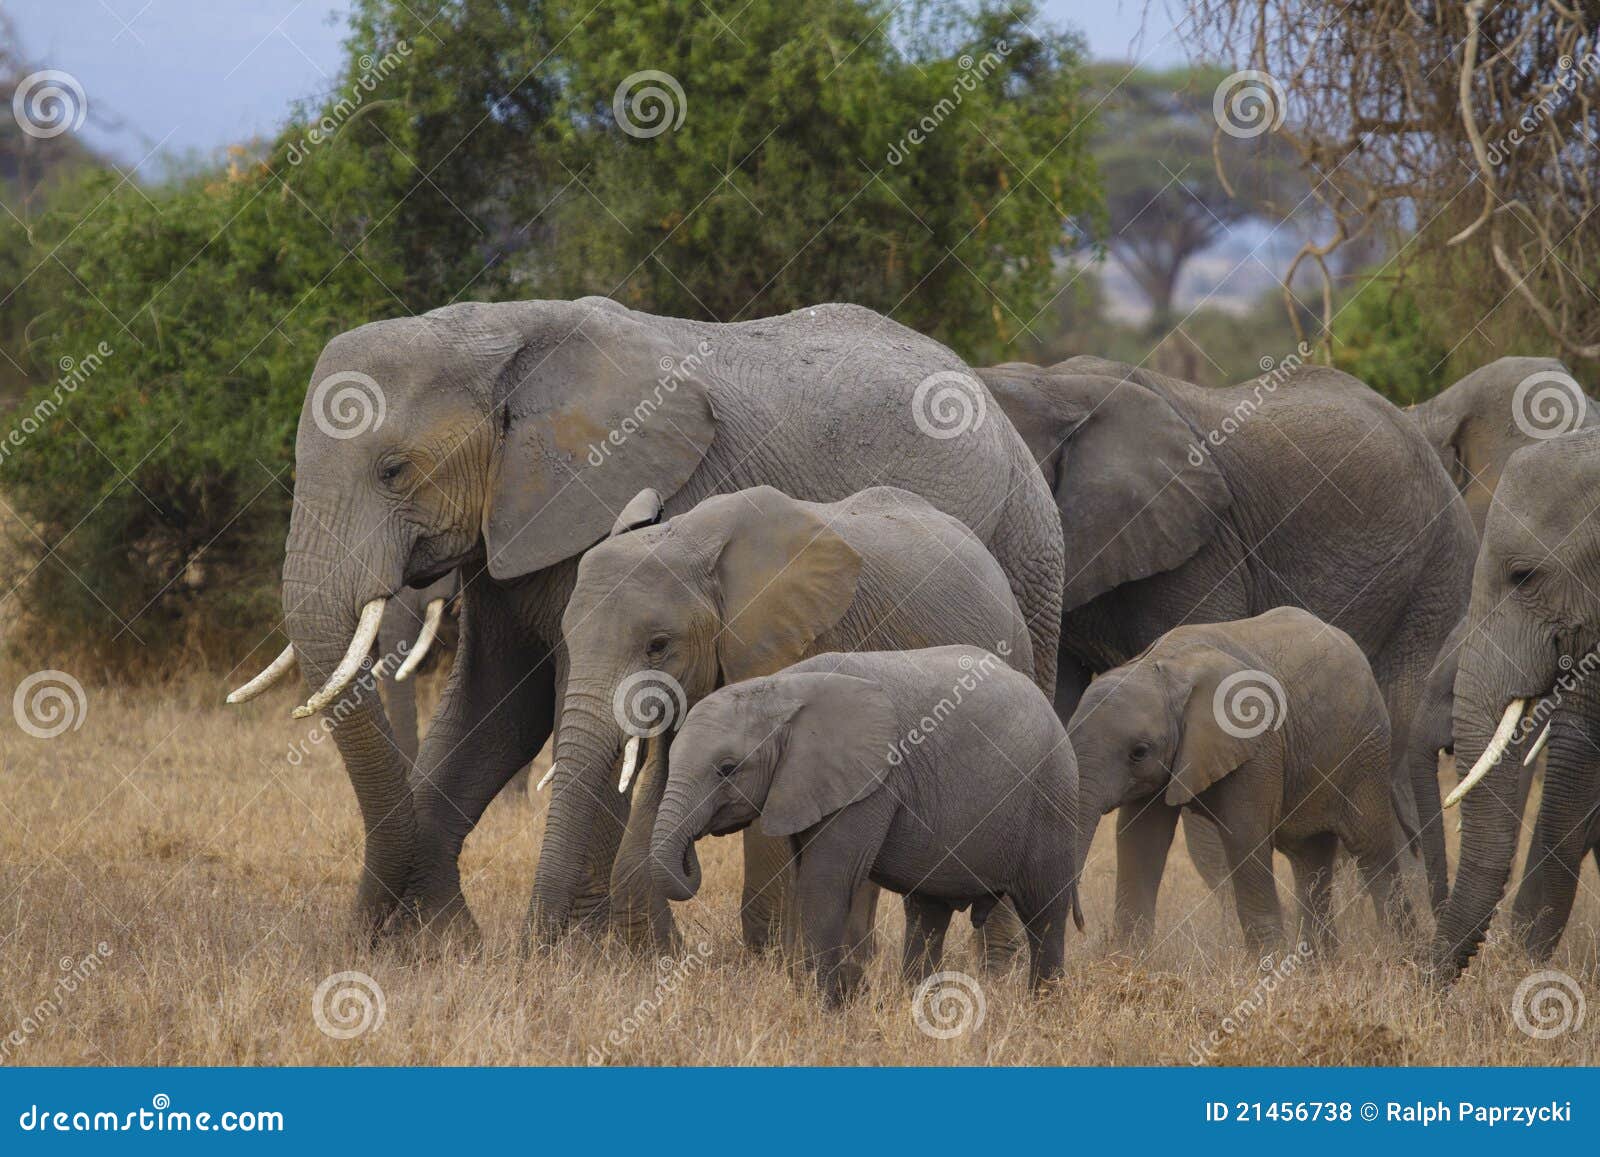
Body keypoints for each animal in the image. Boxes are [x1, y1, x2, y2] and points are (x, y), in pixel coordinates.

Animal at [554, 483, 1035, 958]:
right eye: (567, 639)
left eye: (658, 645)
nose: (544, 945)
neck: (691, 538)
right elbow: (663, 776)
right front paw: (658, 956)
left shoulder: (803, 641)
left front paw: (771, 960)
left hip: (1014, 654)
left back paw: (999, 966)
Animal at [651, 646, 1082, 1004]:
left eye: (727, 769)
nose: (691, 851)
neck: (779, 689)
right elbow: (803, 876)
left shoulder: (871, 784)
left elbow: (827, 881)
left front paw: (822, 1006)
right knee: (928, 913)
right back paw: (917, 1002)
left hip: (1053, 799)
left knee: (1044, 912)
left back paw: (1043, 1006)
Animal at [1068, 607, 1414, 954]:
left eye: (1139, 752)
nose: (1082, 926)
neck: (1166, 667)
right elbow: (1141, 840)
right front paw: (1129, 956)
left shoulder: (1257, 747)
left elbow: (1244, 837)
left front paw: (1267, 960)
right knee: (1309, 858)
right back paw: (1318, 962)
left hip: (1366, 752)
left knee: (1371, 847)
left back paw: (1400, 953)